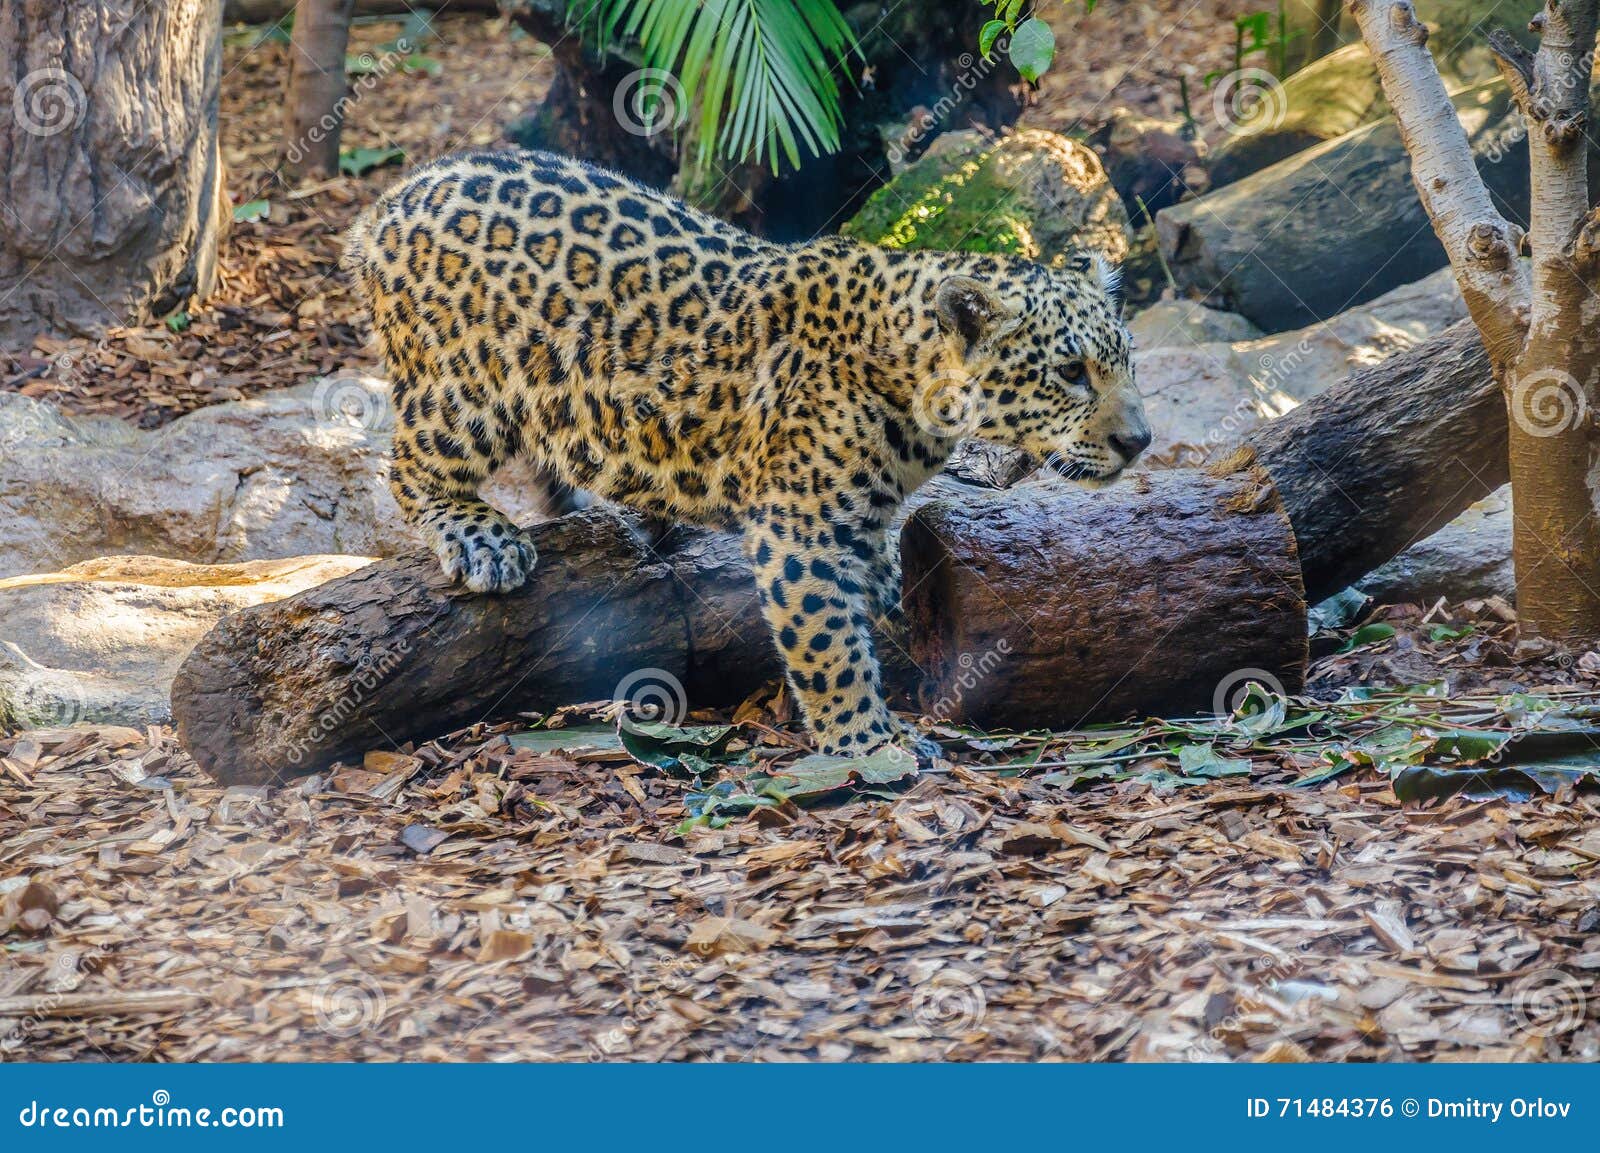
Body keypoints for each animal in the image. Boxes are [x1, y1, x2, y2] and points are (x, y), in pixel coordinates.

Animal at [344, 147, 1151, 763]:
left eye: (1124, 358)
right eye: (1070, 372)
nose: (1138, 440)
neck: (917, 392)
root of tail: (391, 200)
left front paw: (894, 599)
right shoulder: (800, 526)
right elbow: (829, 642)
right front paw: (869, 740)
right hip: (463, 396)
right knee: (409, 467)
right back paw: (484, 539)